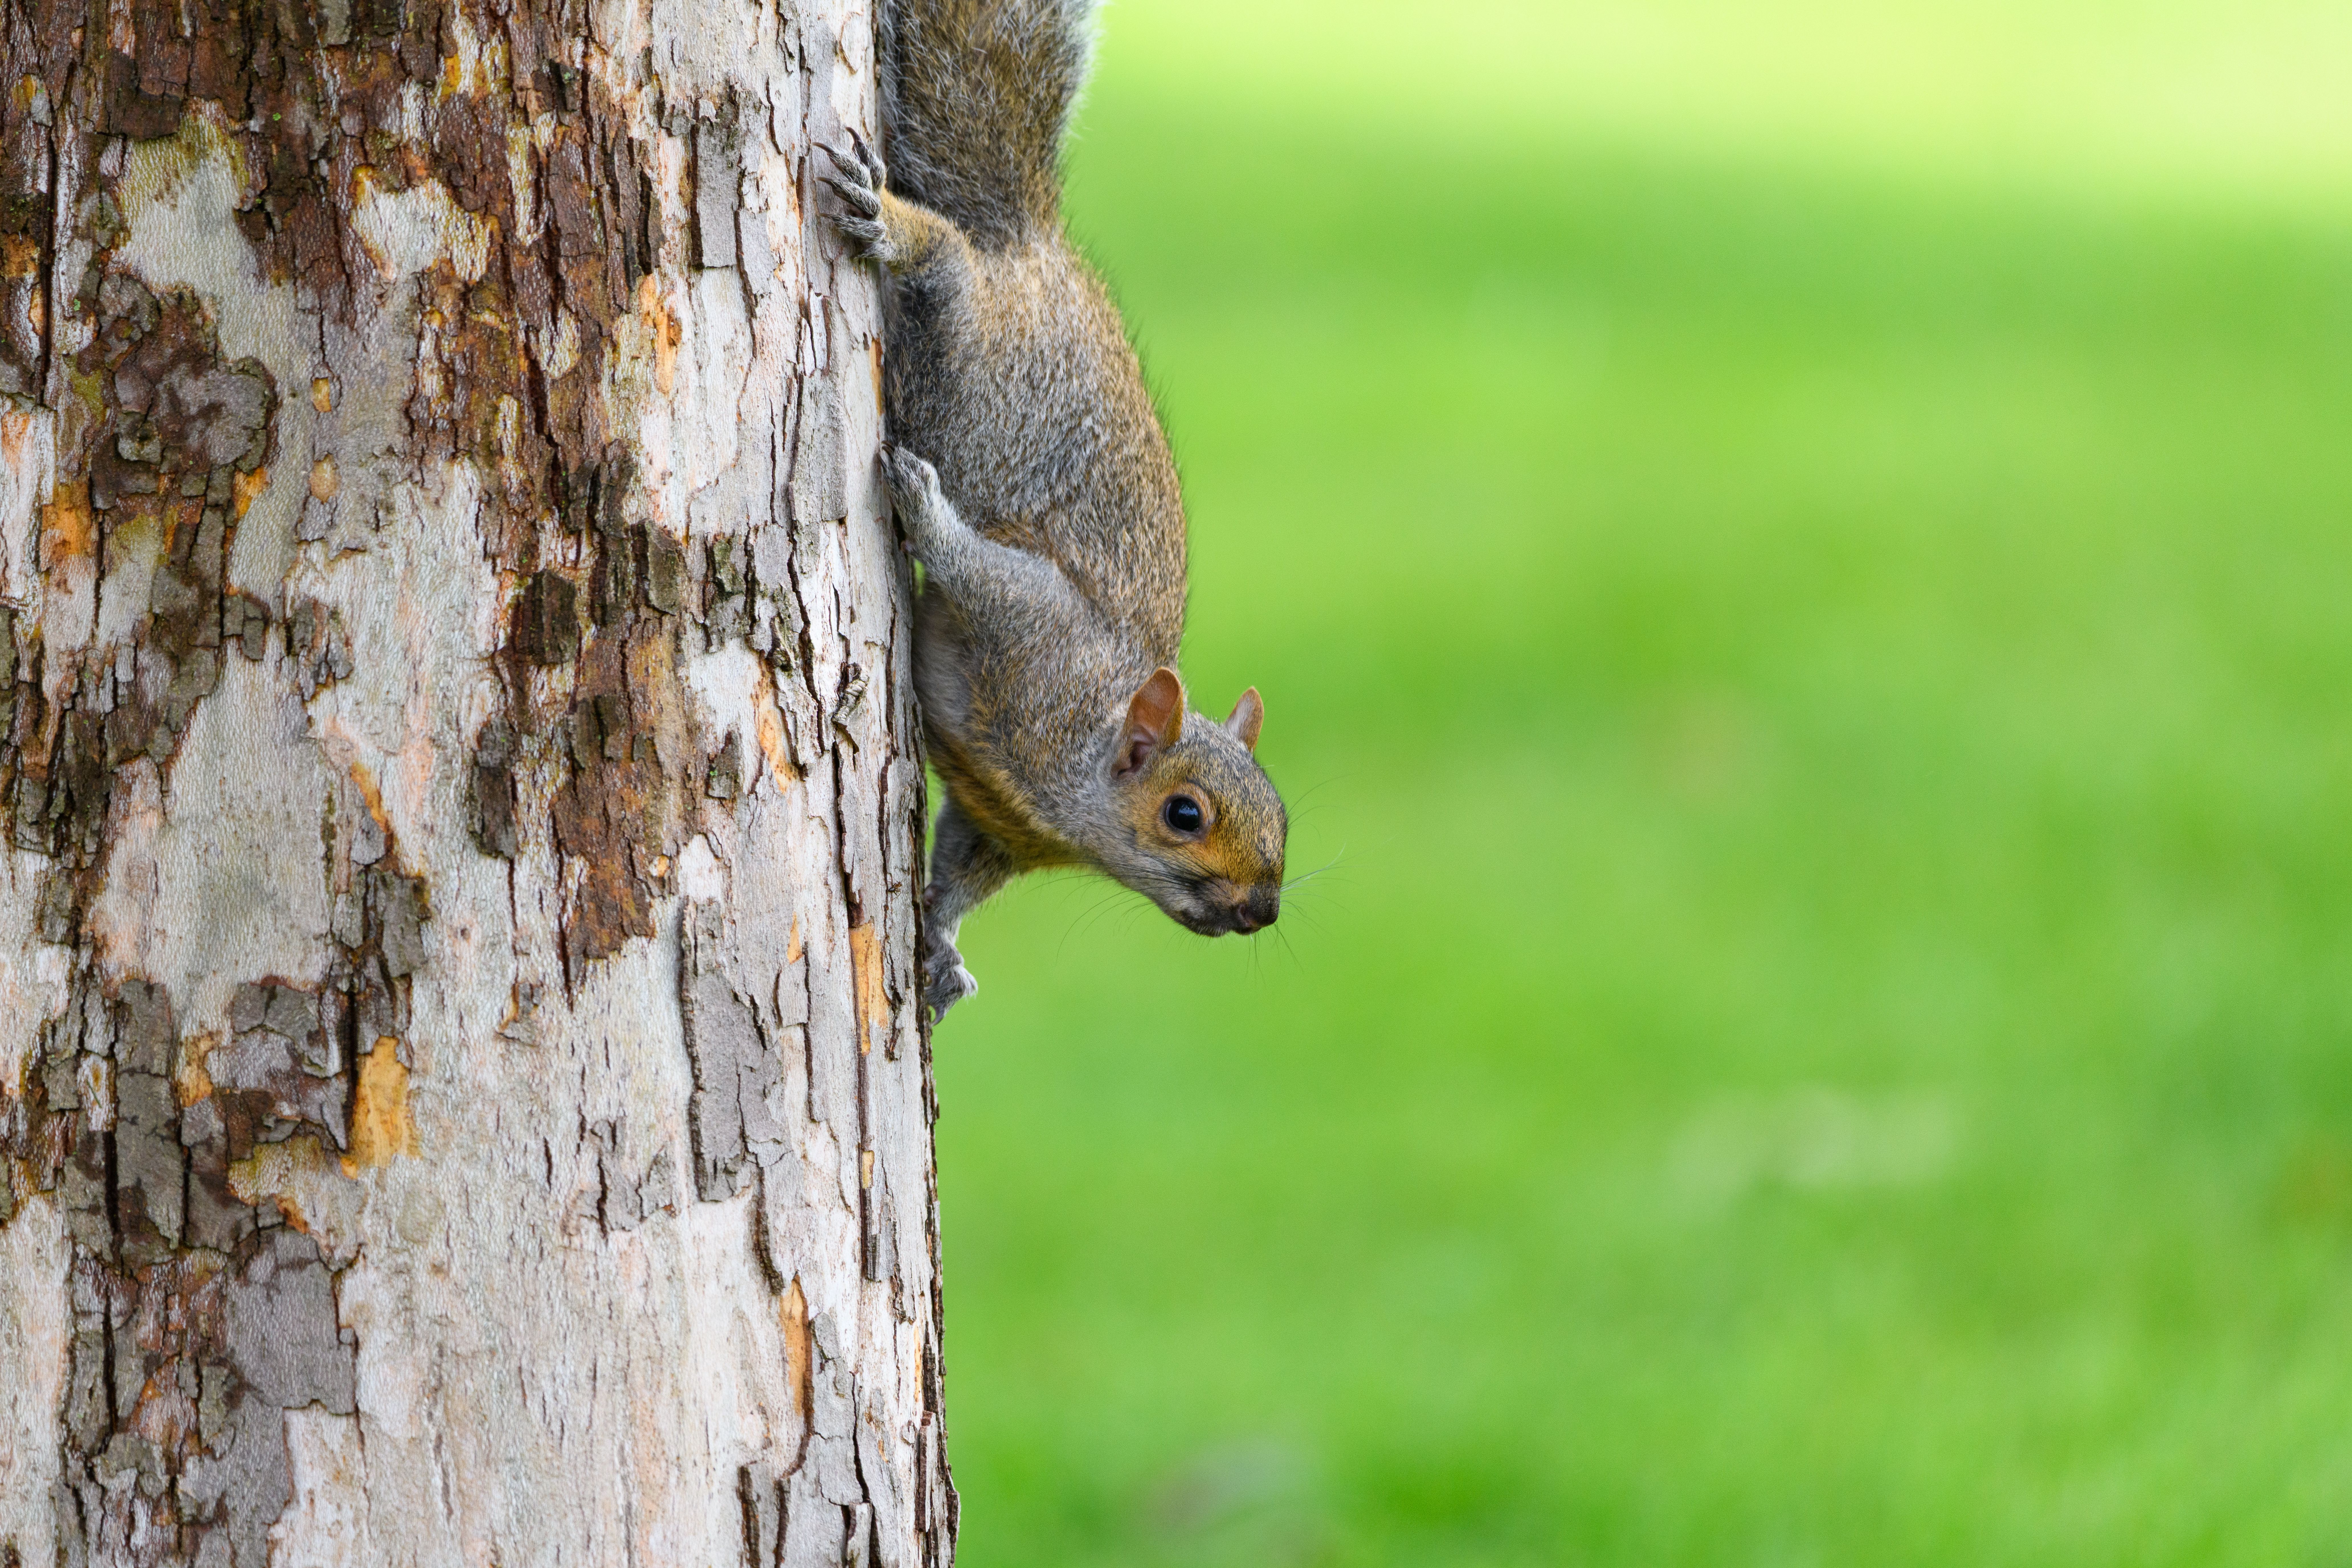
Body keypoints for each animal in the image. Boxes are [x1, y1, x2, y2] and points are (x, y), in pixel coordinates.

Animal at [821, 0, 1288, 1021]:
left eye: (1282, 816)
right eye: (1184, 815)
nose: (1262, 912)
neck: (1065, 783)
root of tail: (1032, 244)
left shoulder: (999, 824)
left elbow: (958, 872)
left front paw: (940, 949)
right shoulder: (1034, 634)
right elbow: (983, 572)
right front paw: (923, 509)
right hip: (970, 363)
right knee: (947, 261)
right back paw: (893, 226)